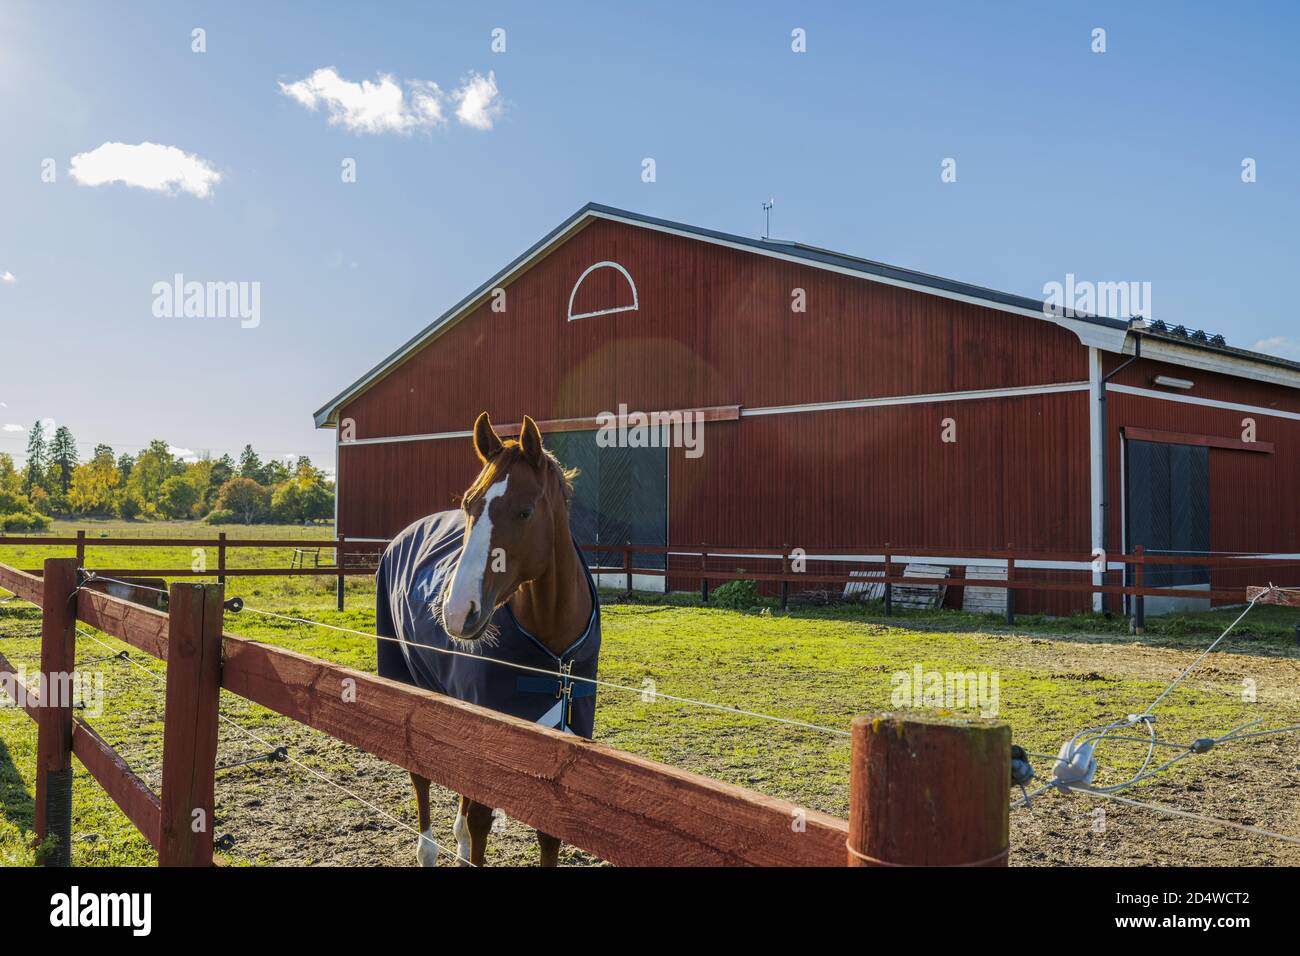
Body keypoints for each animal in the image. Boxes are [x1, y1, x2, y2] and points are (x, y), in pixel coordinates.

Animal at [374, 412, 601, 866]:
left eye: (525, 511)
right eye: (468, 505)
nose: (457, 611)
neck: (557, 656)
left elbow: (547, 832)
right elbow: (480, 817)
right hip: (404, 682)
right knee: (420, 776)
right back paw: (428, 851)